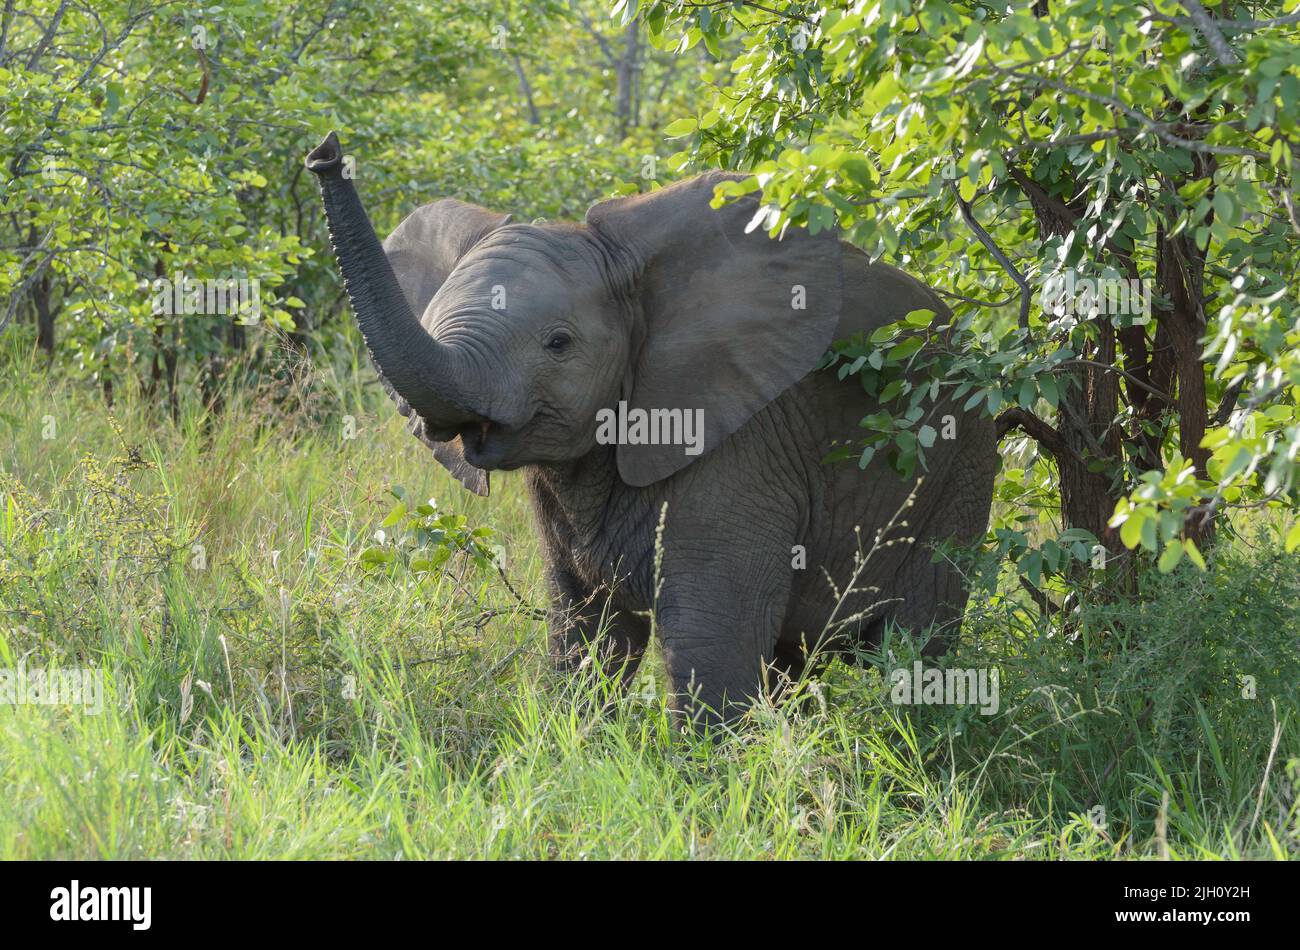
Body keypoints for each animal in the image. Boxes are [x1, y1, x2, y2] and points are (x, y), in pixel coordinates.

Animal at [305, 132, 997, 727]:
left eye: (559, 344)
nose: (325, 153)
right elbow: (585, 631)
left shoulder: (744, 439)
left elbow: (710, 634)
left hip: (959, 466)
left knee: (915, 643)